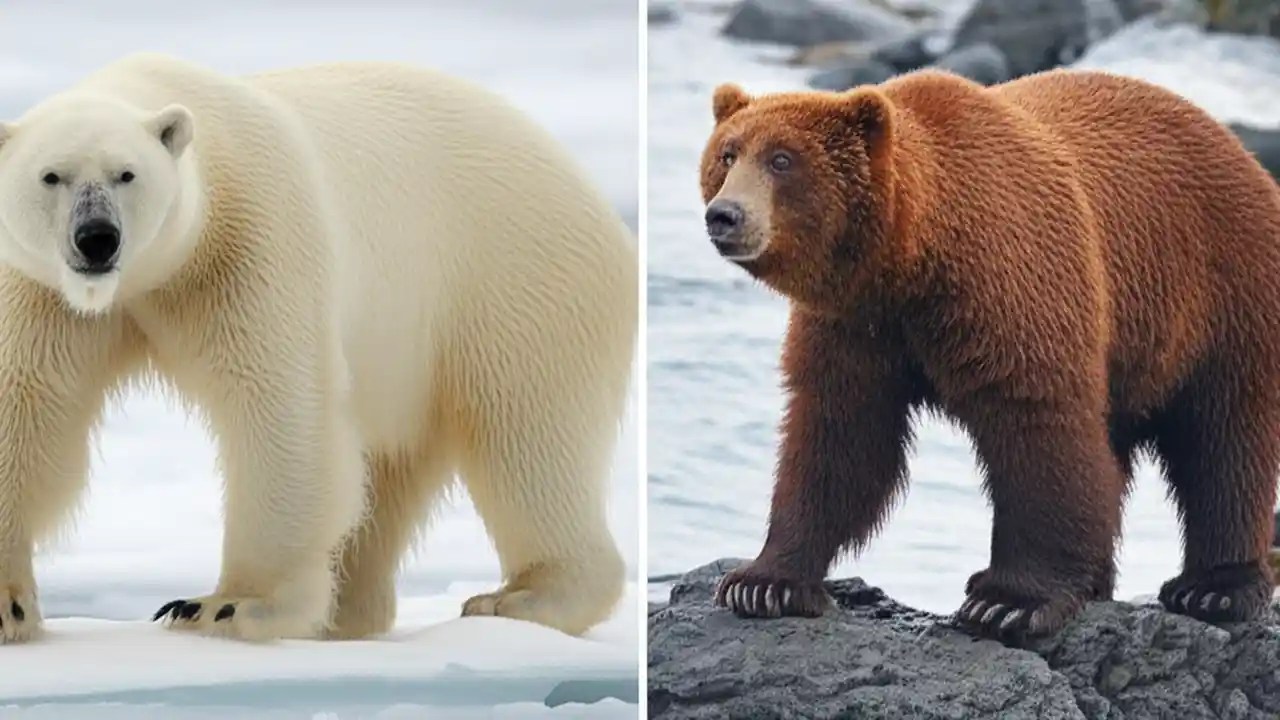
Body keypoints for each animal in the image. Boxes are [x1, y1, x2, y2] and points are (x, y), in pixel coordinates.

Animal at [0, 53, 636, 644]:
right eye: (51, 176)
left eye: (126, 174)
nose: (97, 239)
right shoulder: (39, 289)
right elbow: (25, 406)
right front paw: (9, 608)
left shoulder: (252, 241)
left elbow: (277, 408)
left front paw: (227, 606)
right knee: (389, 475)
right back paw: (347, 614)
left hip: (513, 281)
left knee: (527, 435)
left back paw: (522, 597)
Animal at [699, 68, 1280, 642]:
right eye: (728, 153)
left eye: (782, 159)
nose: (724, 215)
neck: (914, 257)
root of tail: (1241, 151)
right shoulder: (857, 323)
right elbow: (838, 435)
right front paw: (762, 582)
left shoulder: (1010, 281)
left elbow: (1036, 425)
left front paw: (1008, 602)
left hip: (1221, 291)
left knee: (1224, 438)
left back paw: (1214, 586)